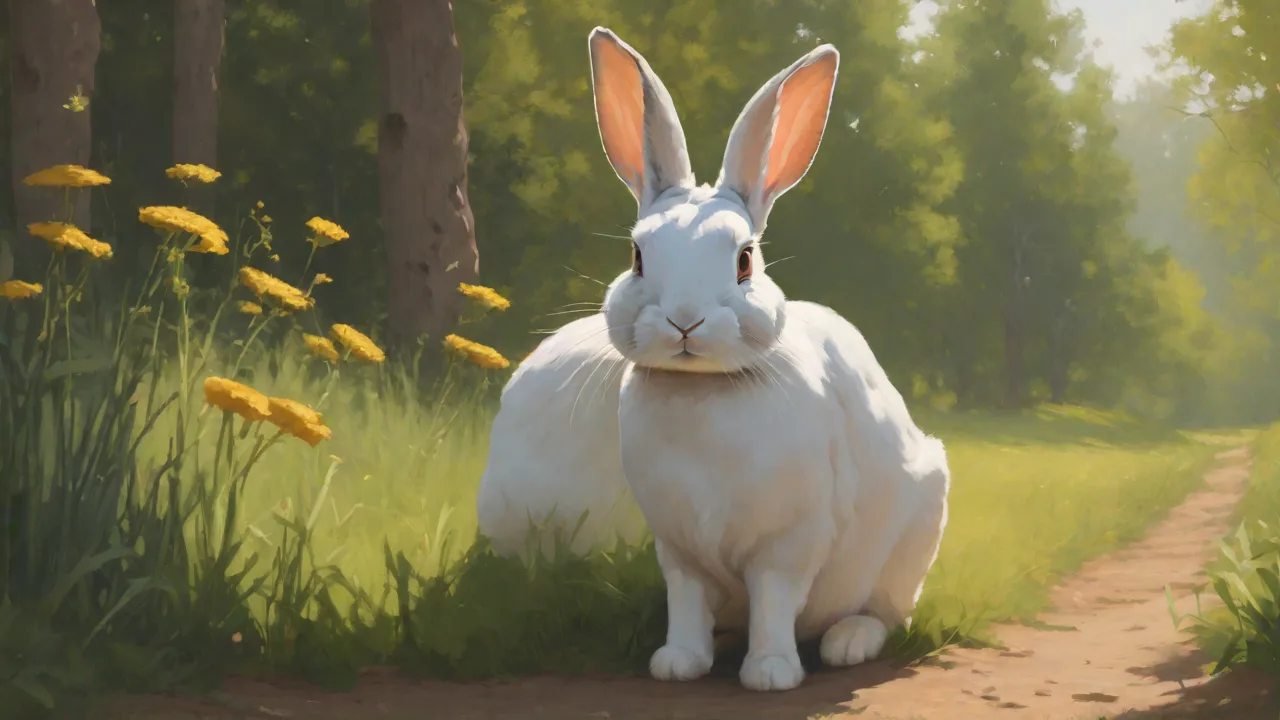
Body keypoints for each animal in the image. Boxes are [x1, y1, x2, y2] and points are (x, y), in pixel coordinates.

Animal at [586, 27, 951, 692]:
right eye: (637, 256)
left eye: (744, 260)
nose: (684, 319)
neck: (702, 391)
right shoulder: (678, 550)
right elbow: (686, 602)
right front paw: (678, 663)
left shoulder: (788, 543)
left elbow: (775, 599)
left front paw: (771, 672)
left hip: (910, 544)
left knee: (884, 614)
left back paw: (846, 643)